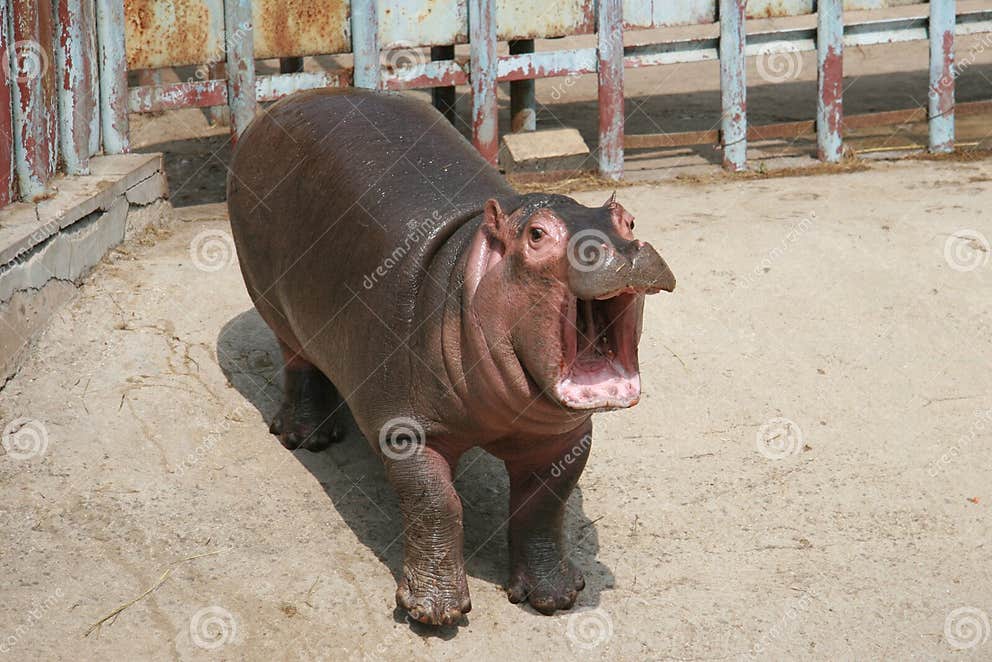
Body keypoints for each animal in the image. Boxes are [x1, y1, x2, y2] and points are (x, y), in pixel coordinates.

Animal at [227, 89, 675, 625]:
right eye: (537, 235)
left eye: (628, 220)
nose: (623, 250)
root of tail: (291, 100)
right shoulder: (405, 431)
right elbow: (436, 503)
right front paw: (434, 611)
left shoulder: (565, 439)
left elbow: (543, 507)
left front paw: (555, 596)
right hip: (269, 300)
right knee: (297, 360)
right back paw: (307, 437)